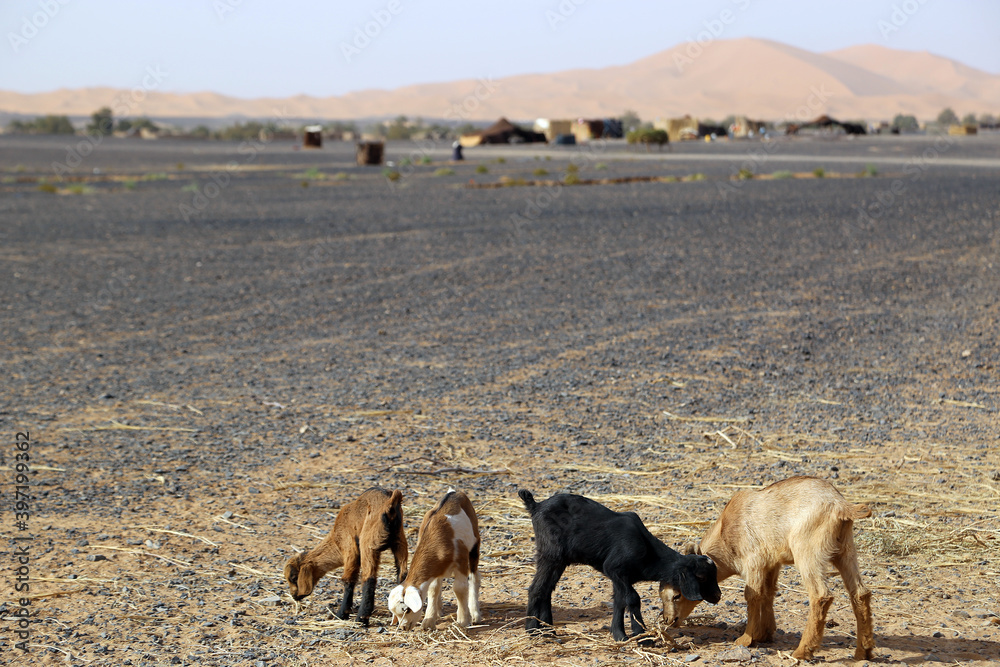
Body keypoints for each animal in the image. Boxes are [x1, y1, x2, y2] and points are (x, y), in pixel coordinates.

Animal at [284, 487, 408, 624]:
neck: (335, 540)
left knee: (369, 578)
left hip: (368, 543)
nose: (294, 596)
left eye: (294, 578)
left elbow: (348, 579)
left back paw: (362, 618)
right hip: (400, 540)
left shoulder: (350, 548)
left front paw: (341, 614)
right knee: (402, 574)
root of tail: (390, 503)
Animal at [388, 489, 482, 630]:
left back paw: (475, 614)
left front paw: (463, 621)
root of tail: (455, 492)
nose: (404, 627)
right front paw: (428, 621)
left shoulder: (461, 561)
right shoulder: (436, 567)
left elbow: (459, 588)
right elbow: (433, 589)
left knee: (474, 577)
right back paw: (439, 609)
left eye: (406, 609)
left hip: (474, 546)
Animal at [519, 489, 720, 642]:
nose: (718, 596)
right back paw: (532, 630)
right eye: (701, 577)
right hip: (551, 553)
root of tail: (536, 505)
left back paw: (548, 631)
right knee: (537, 588)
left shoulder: (621, 577)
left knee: (547, 589)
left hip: (558, 560)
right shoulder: (615, 569)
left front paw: (618, 634)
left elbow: (619, 601)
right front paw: (641, 635)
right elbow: (632, 598)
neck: (649, 553)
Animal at [659, 476, 875, 661]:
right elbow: (768, 593)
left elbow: (752, 595)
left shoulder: (753, 561)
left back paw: (803, 651)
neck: (726, 533)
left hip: (808, 552)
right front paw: (765, 634)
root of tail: (841, 505)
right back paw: (863, 652)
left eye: (676, 595)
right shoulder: (771, 564)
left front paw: (746, 639)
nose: (668, 619)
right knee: (860, 593)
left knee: (821, 596)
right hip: (845, 550)